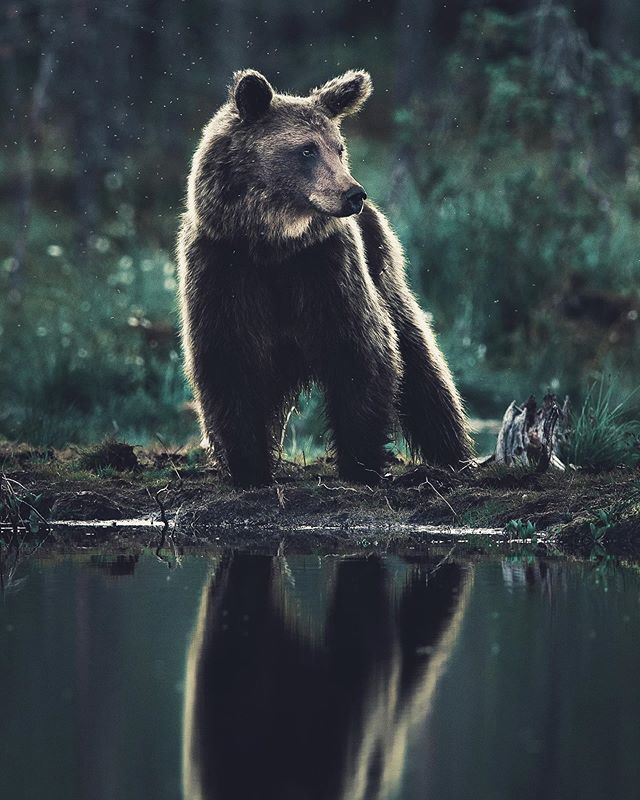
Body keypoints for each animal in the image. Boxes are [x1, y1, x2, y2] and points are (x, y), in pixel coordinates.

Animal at [177, 68, 472, 488]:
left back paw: (453, 453)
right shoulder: (225, 267)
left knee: (422, 363)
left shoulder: (324, 267)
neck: (272, 244)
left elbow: (360, 347)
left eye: (338, 147)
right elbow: (229, 358)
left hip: (382, 267)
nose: (354, 194)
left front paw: (360, 464)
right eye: (306, 150)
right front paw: (248, 468)